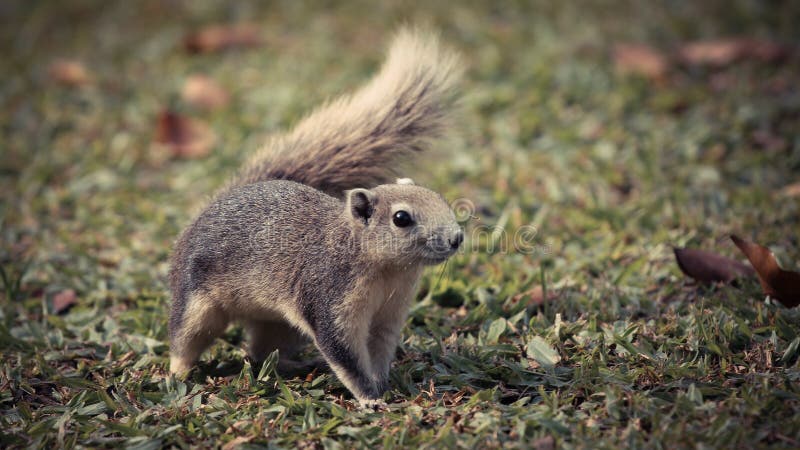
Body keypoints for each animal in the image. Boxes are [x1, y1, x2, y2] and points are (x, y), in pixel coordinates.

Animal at [167, 28, 463, 406]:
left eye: (439, 198)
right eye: (401, 218)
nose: (456, 238)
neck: (387, 272)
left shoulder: (388, 314)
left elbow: (379, 350)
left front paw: (385, 385)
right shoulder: (329, 298)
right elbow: (345, 355)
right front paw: (370, 398)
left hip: (277, 325)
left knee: (263, 352)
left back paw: (298, 365)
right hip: (195, 300)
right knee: (185, 339)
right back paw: (177, 374)